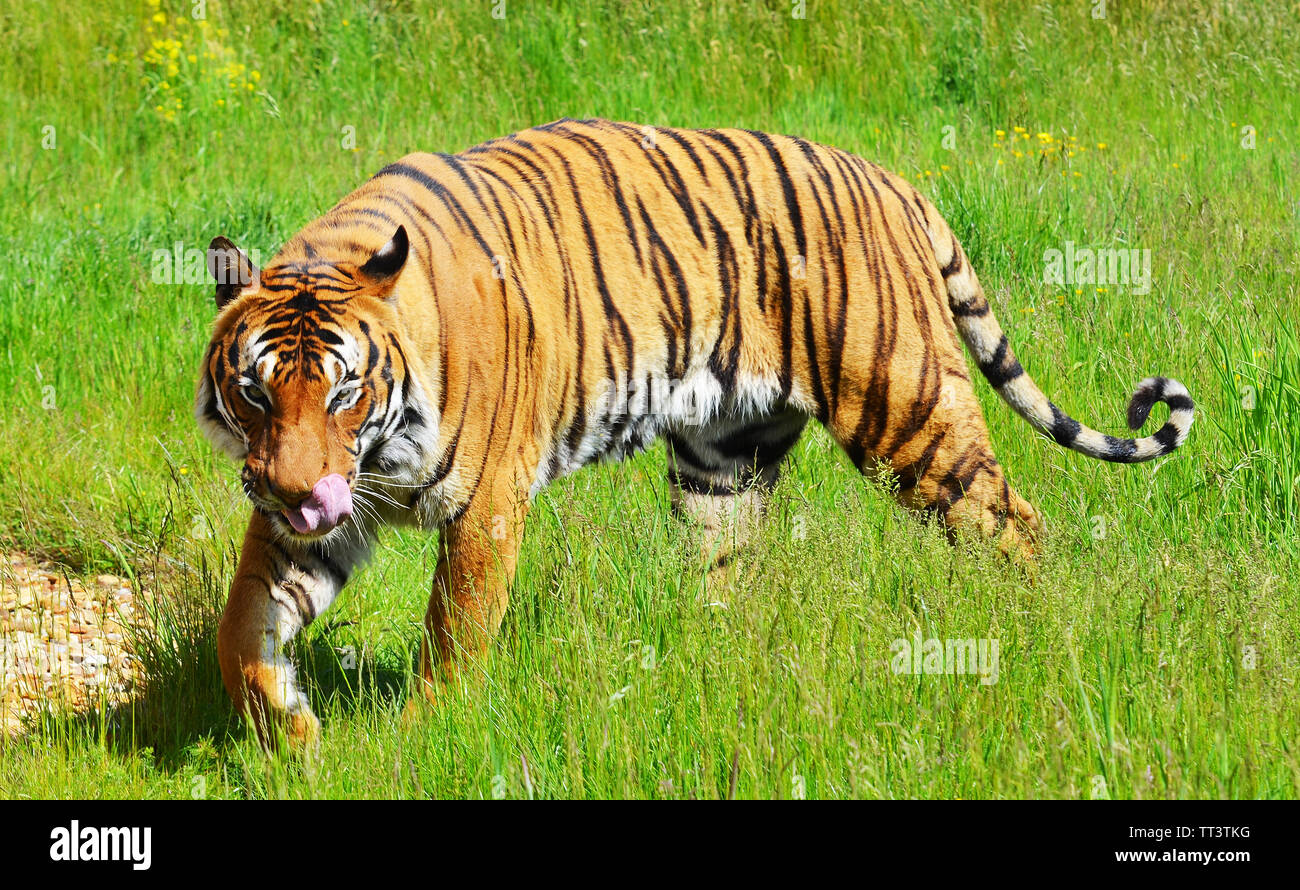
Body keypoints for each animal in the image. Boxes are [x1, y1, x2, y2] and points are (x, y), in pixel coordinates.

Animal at [196, 118, 1193, 749]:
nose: (295, 491)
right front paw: (293, 731)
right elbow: (241, 631)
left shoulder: (484, 504)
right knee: (727, 575)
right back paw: (709, 670)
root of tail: (893, 181)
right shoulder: (307, 516)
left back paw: (1034, 634)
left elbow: (455, 631)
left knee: (1014, 525)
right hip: (726, 461)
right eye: (254, 395)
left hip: (906, 413)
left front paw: (424, 736)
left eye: (343, 394)